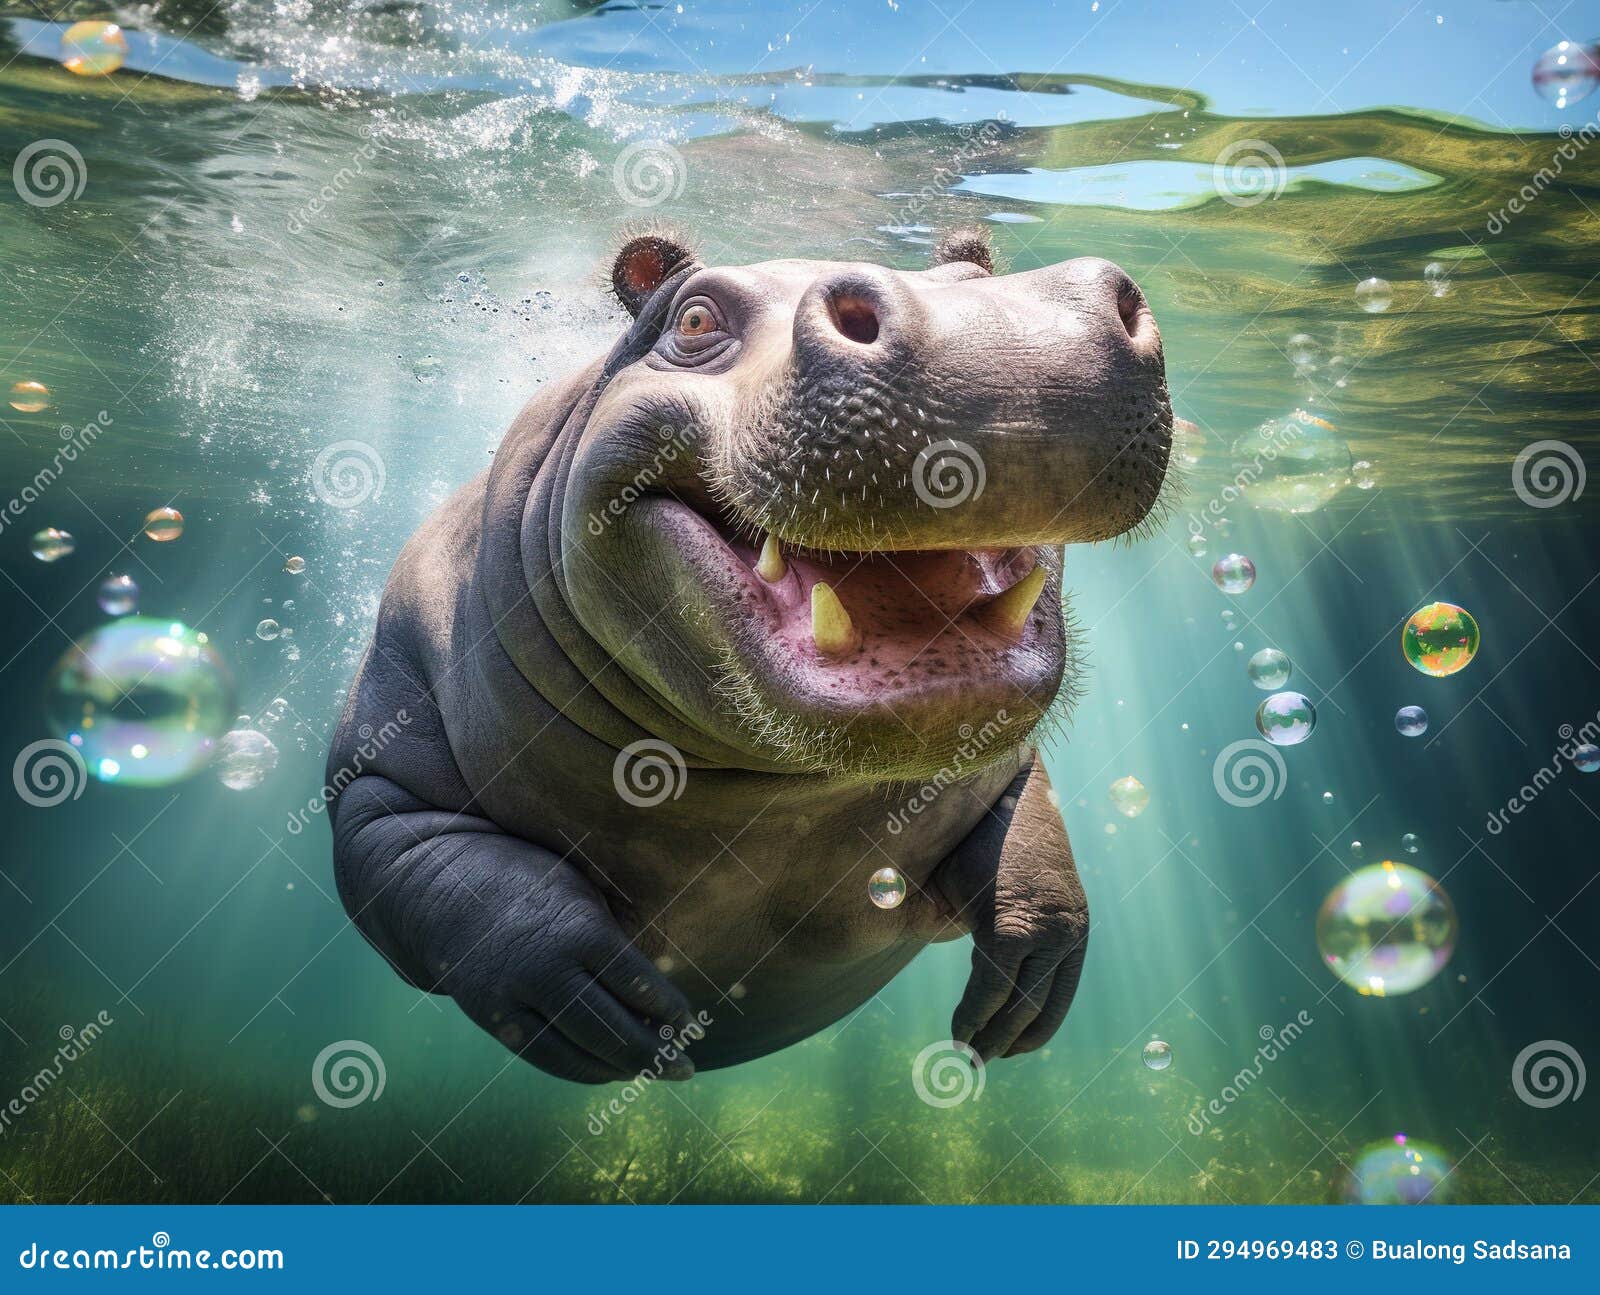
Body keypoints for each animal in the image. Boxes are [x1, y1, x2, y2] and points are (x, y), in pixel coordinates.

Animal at [327, 227, 1173, 1082]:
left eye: (976, 269)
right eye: (695, 318)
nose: (997, 325)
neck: (773, 797)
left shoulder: (1007, 764)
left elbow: (1032, 841)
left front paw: (1015, 1002)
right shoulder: (374, 788)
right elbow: (478, 893)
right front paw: (611, 1013)